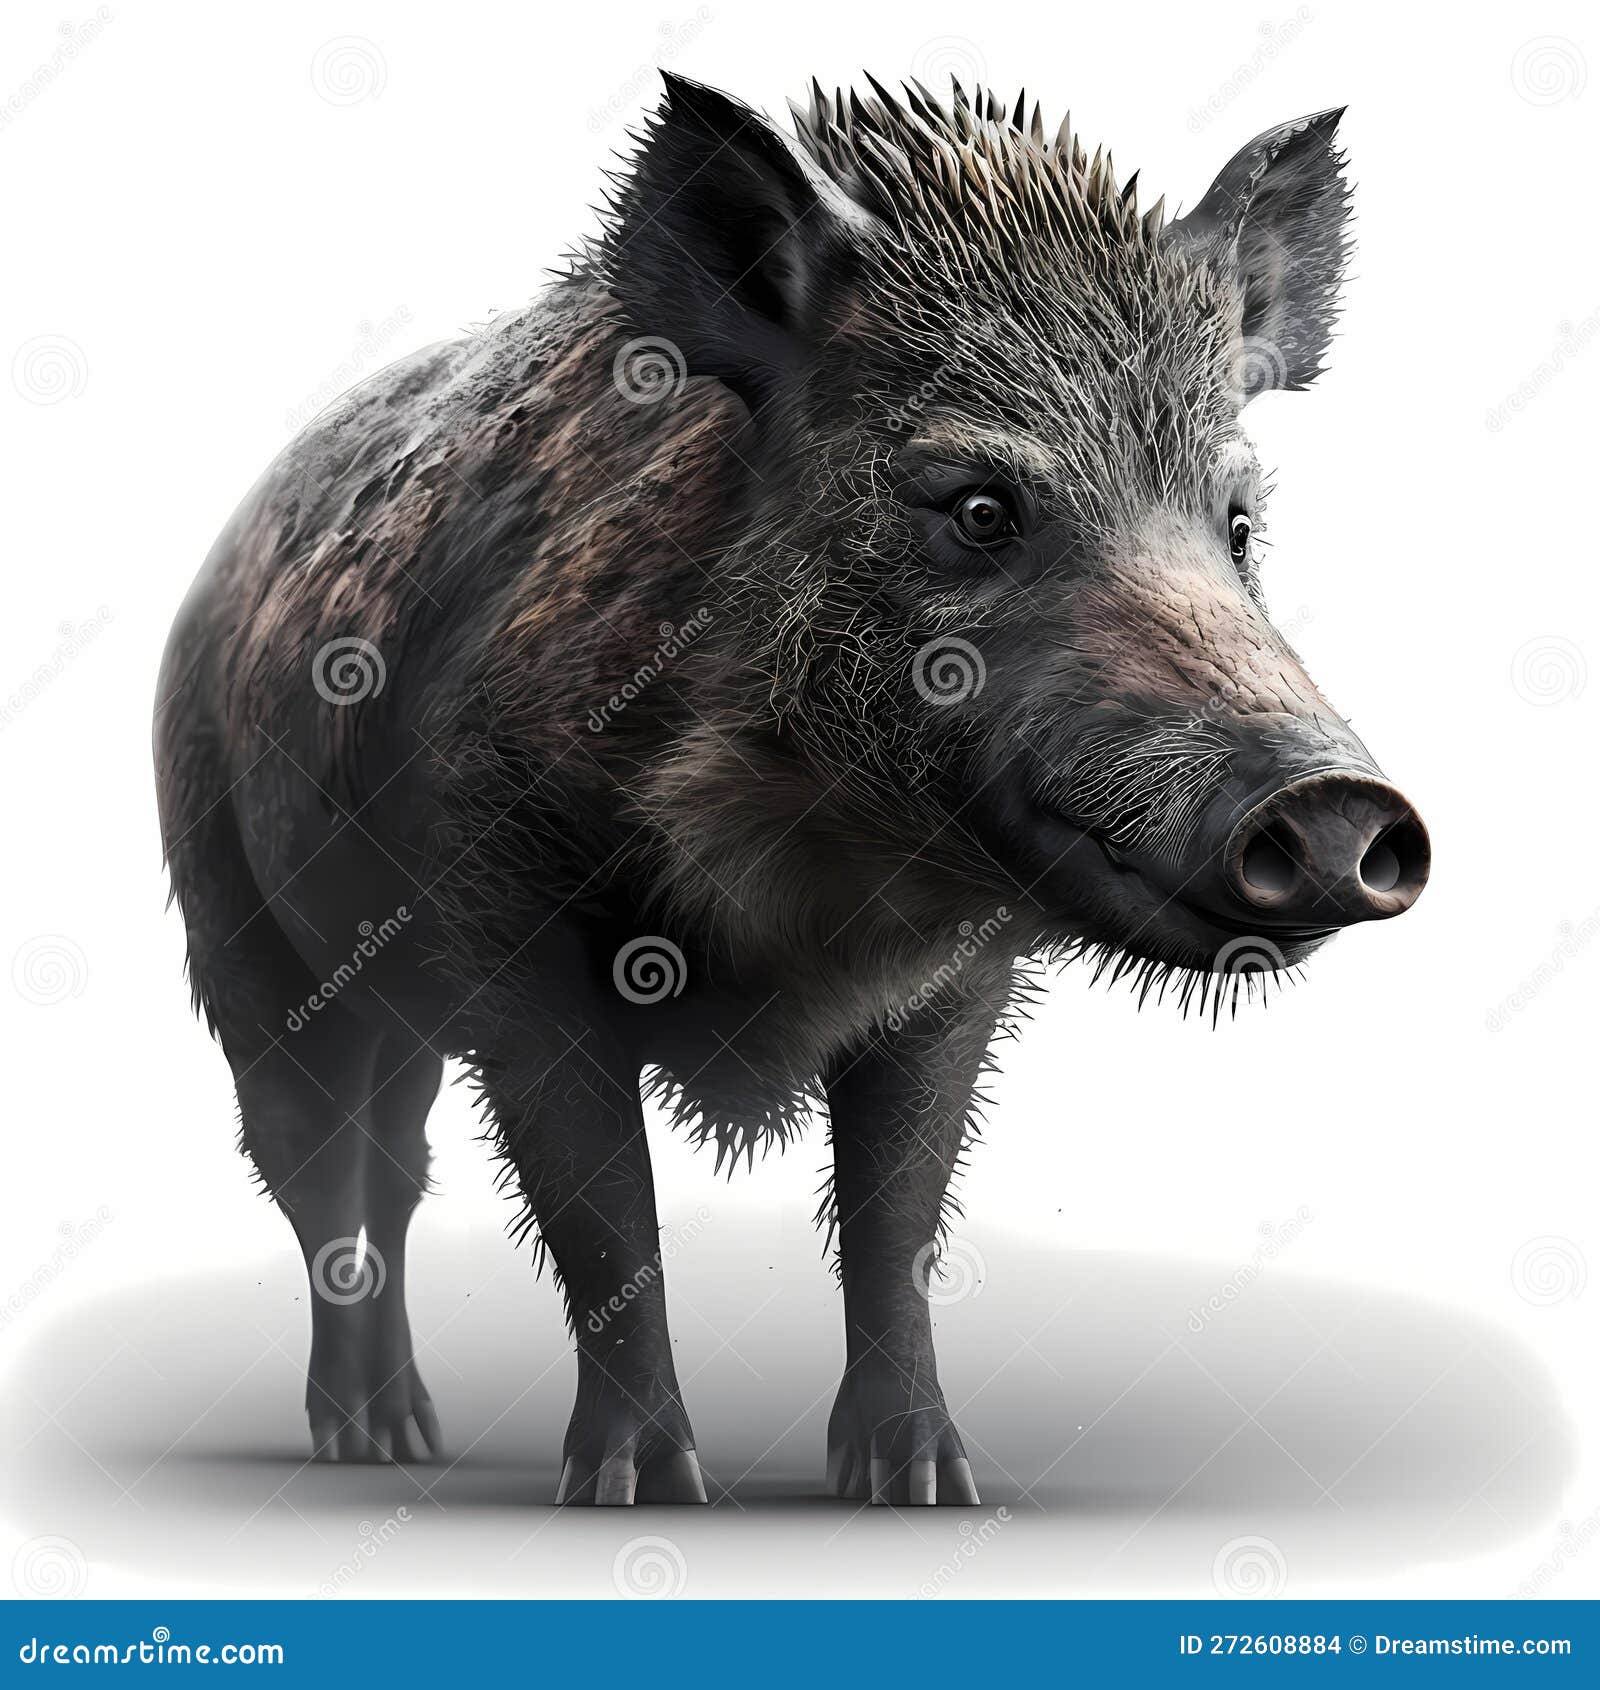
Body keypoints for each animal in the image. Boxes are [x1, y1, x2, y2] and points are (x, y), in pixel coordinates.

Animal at [153, 73, 1429, 1506]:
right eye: (978, 508)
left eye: (1238, 522)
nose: (1332, 804)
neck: (817, 860)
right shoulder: (505, 917)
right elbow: (603, 1209)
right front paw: (643, 1490)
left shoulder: (952, 983)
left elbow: (896, 1209)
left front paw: (924, 1485)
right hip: (239, 938)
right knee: (318, 1177)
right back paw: (363, 1444)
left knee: (393, 1171)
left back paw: (405, 1435)